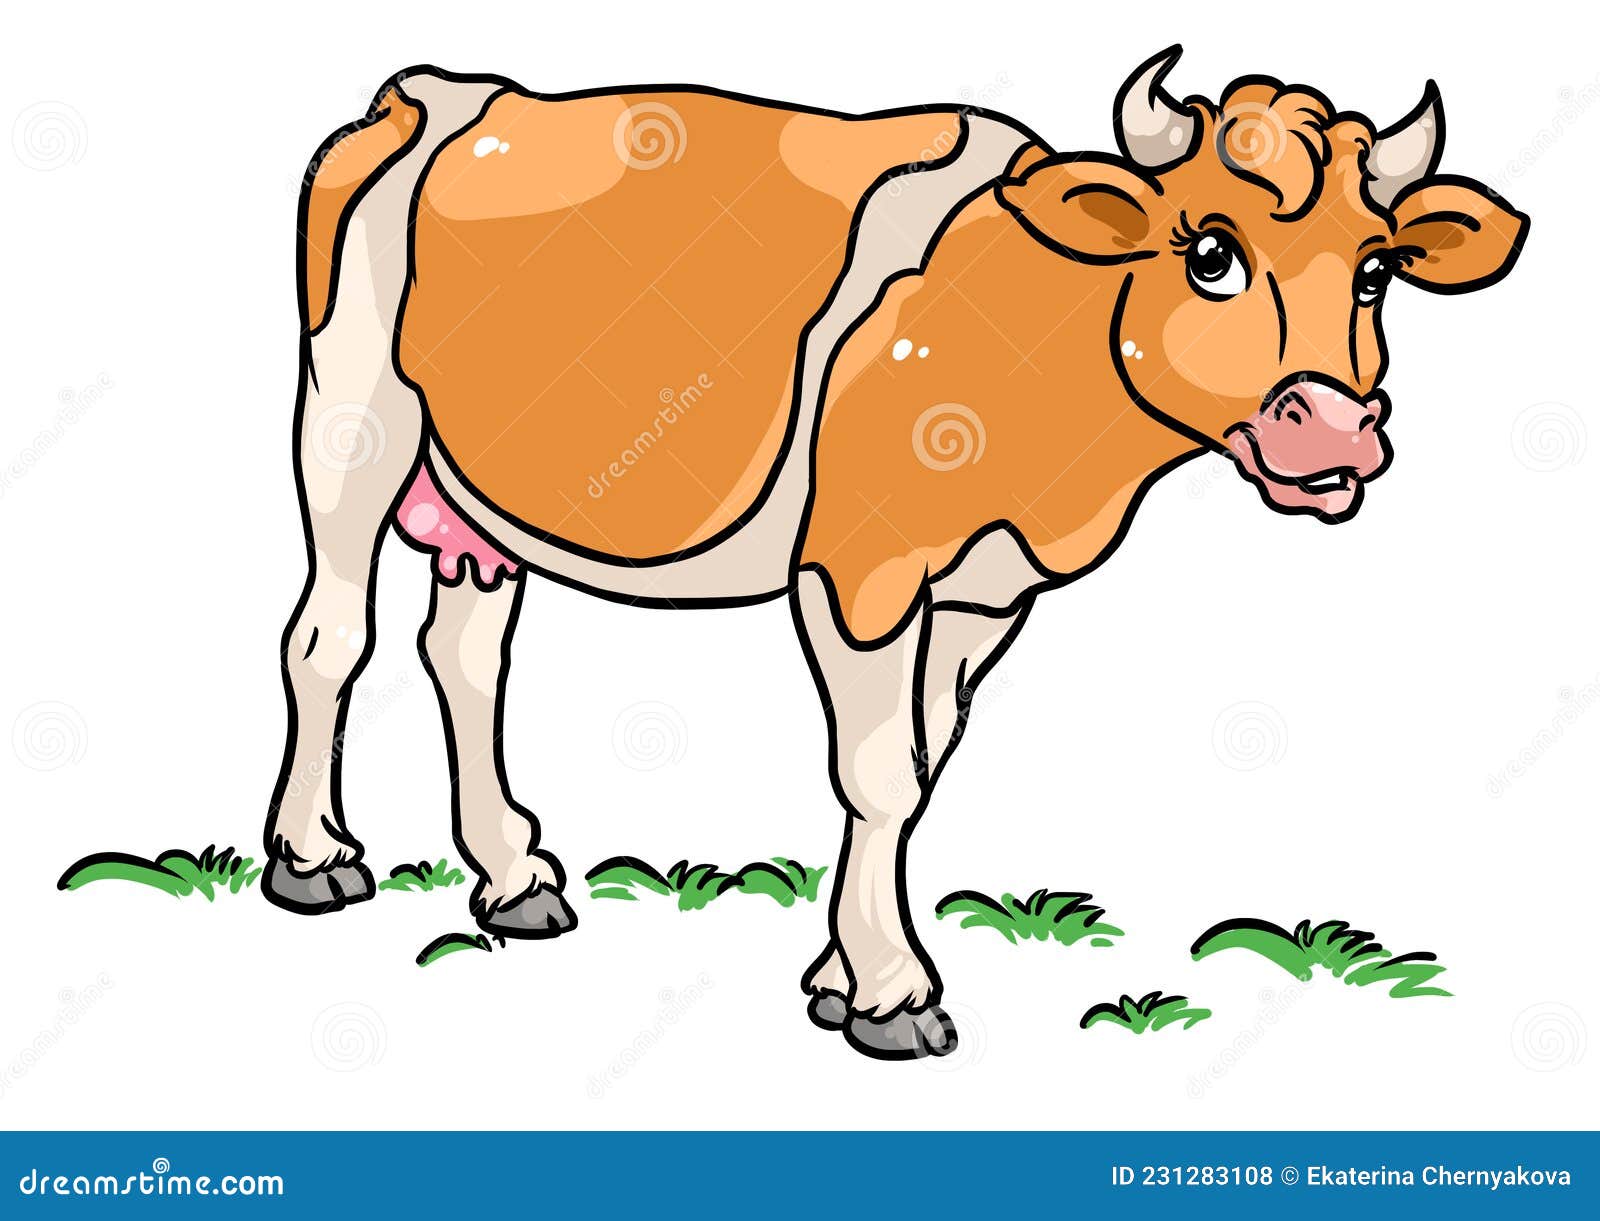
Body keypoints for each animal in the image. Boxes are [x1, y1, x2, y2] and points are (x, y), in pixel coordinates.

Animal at [266, 49, 1526, 1059]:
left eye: (1375, 271)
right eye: (1209, 253)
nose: (1334, 430)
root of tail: (442, 92)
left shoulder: (983, 596)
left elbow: (924, 764)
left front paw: (837, 973)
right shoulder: (860, 570)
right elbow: (875, 771)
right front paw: (890, 995)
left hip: (478, 506)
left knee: (466, 652)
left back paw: (514, 878)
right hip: (351, 418)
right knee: (330, 636)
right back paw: (313, 858)